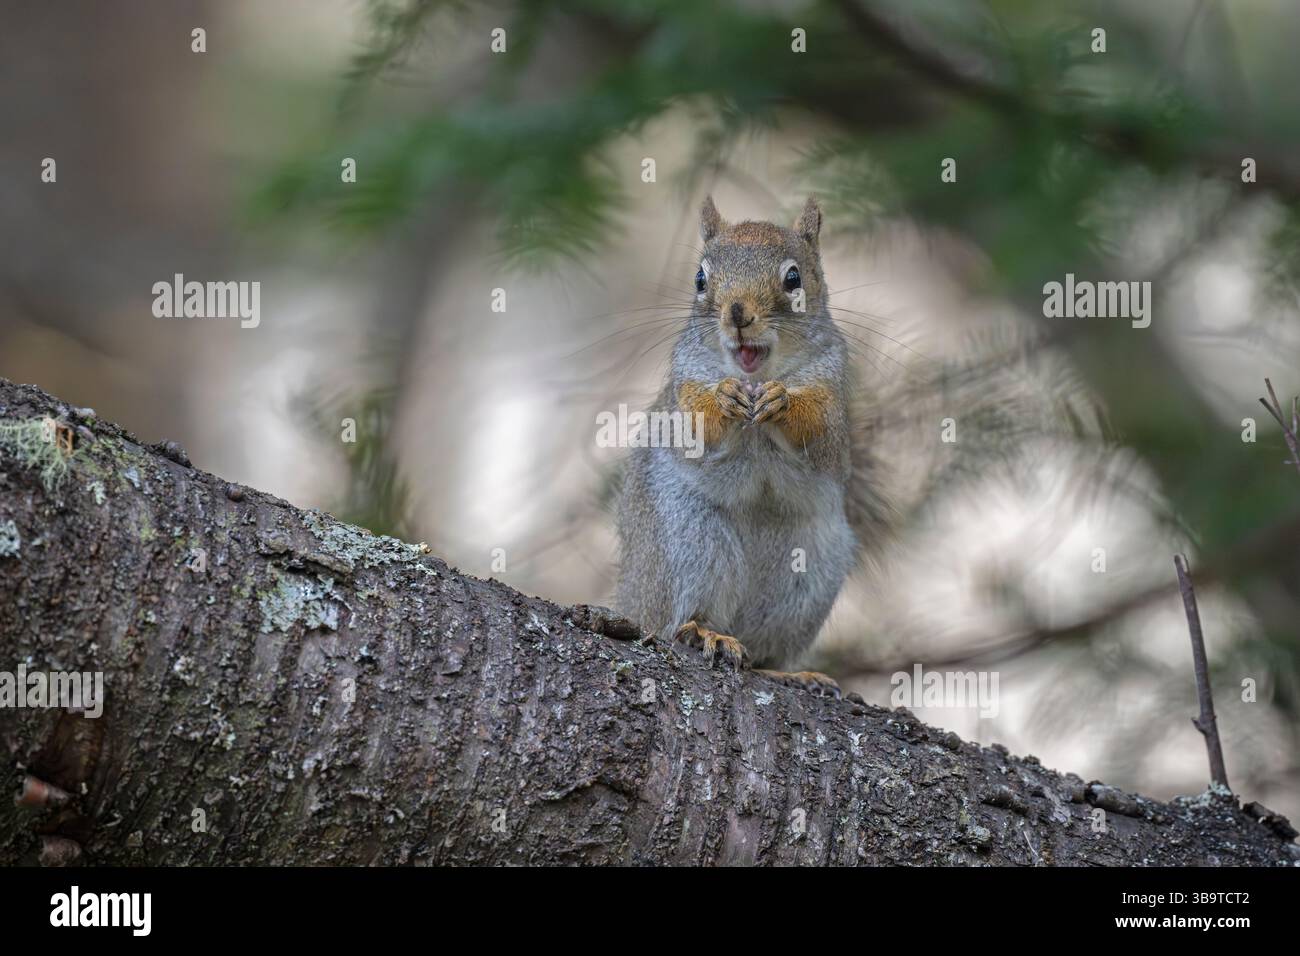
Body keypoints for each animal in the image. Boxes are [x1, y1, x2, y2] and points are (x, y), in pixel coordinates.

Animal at [615, 195, 891, 698]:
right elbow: (694, 429)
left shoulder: (833, 395)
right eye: (700, 279)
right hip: (686, 539)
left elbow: (821, 436)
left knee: (764, 652)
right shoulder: (683, 386)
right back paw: (706, 633)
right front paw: (724, 399)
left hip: (813, 570)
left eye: (793, 278)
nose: (738, 313)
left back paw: (786, 670)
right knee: (680, 618)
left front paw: (783, 401)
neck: (756, 374)